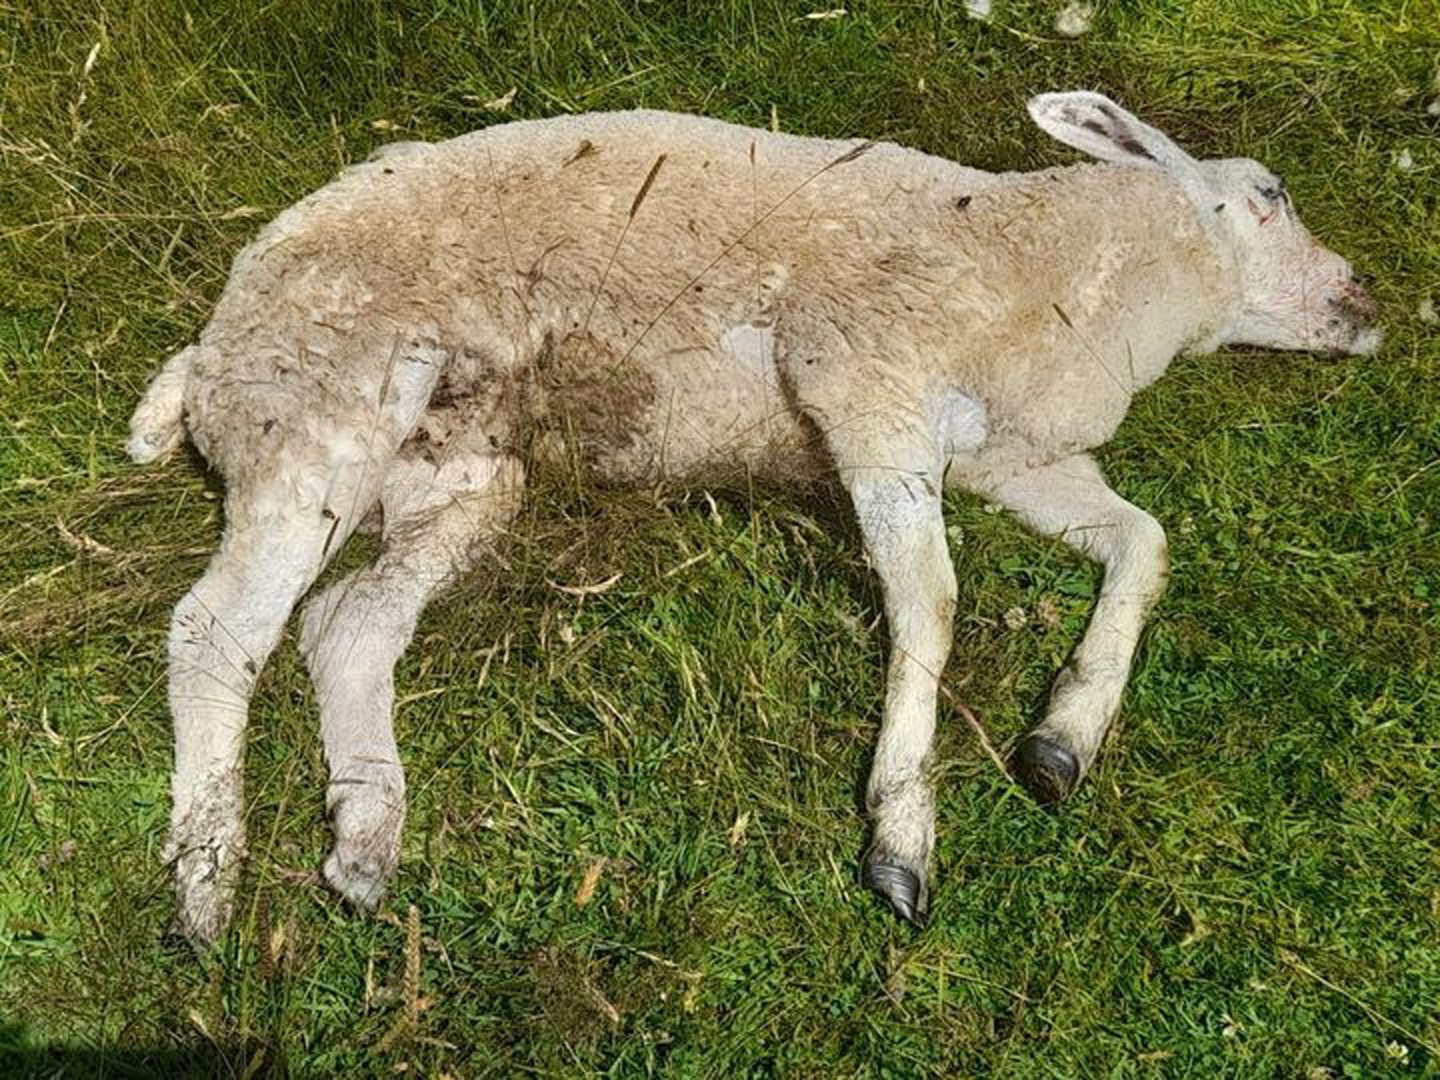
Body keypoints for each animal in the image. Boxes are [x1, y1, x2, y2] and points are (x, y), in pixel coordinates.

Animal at [129, 91, 1380, 944]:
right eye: (1269, 194)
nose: (1366, 302)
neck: (1052, 271)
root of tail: (204, 350)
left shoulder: (1008, 456)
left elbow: (1145, 543)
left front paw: (1062, 741)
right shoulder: (866, 381)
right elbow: (931, 600)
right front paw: (902, 838)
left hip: (454, 467)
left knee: (348, 627)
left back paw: (363, 841)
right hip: (323, 394)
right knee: (217, 631)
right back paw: (206, 884)